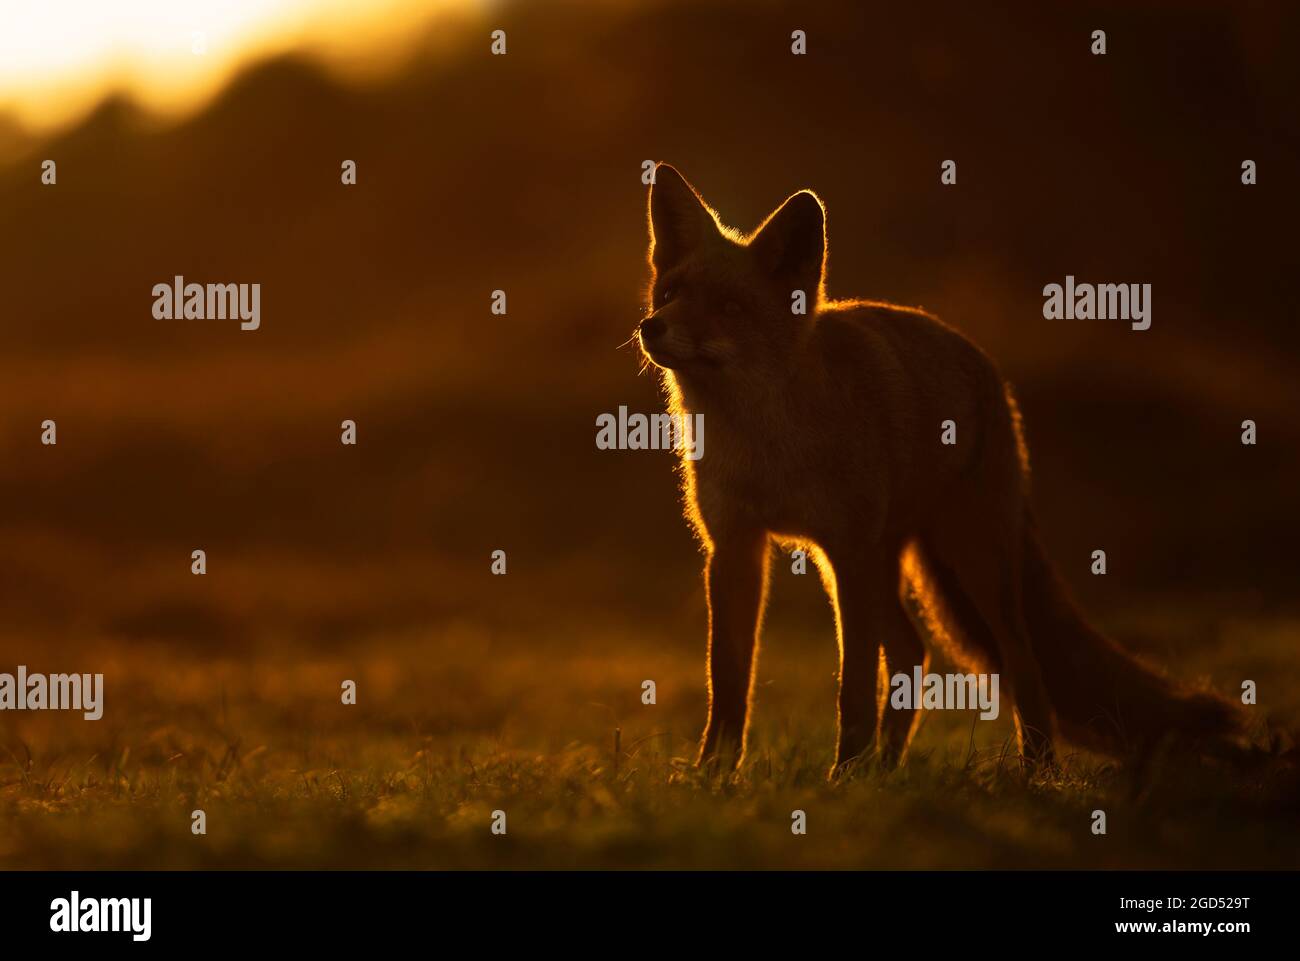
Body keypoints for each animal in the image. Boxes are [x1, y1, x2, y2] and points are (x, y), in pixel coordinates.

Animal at [636, 162, 1248, 776]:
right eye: (669, 294)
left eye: (729, 308)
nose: (651, 327)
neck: (768, 448)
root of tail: (983, 362)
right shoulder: (737, 547)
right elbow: (728, 681)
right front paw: (715, 774)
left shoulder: (845, 551)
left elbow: (853, 687)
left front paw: (838, 776)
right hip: (885, 565)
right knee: (914, 651)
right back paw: (884, 769)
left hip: (968, 559)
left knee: (1020, 659)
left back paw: (1036, 772)